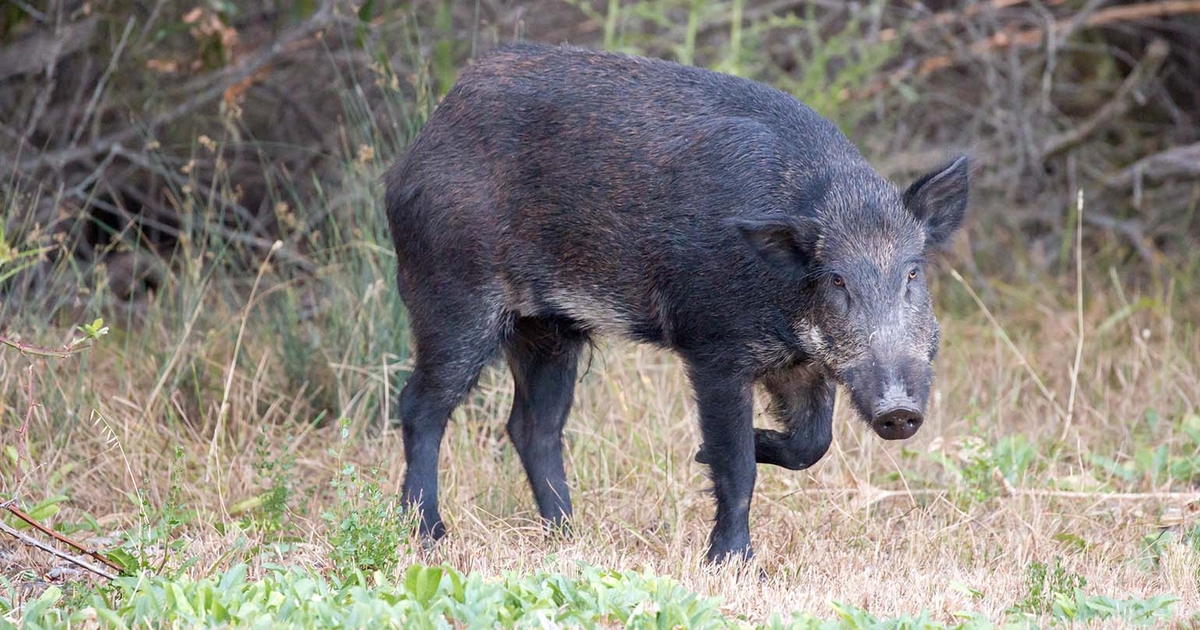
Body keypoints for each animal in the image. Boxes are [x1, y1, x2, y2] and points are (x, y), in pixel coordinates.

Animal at [384, 42, 968, 563]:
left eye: (913, 272)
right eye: (837, 280)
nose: (899, 411)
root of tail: (420, 143)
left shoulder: (801, 366)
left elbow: (812, 444)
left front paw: (702, 457)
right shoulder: (714, 350)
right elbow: (737, 465)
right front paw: (732, 561)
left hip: (549, 328)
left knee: (533, 427)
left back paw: (571, 538)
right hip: (454, 295)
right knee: (421, 405)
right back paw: (430, 537)